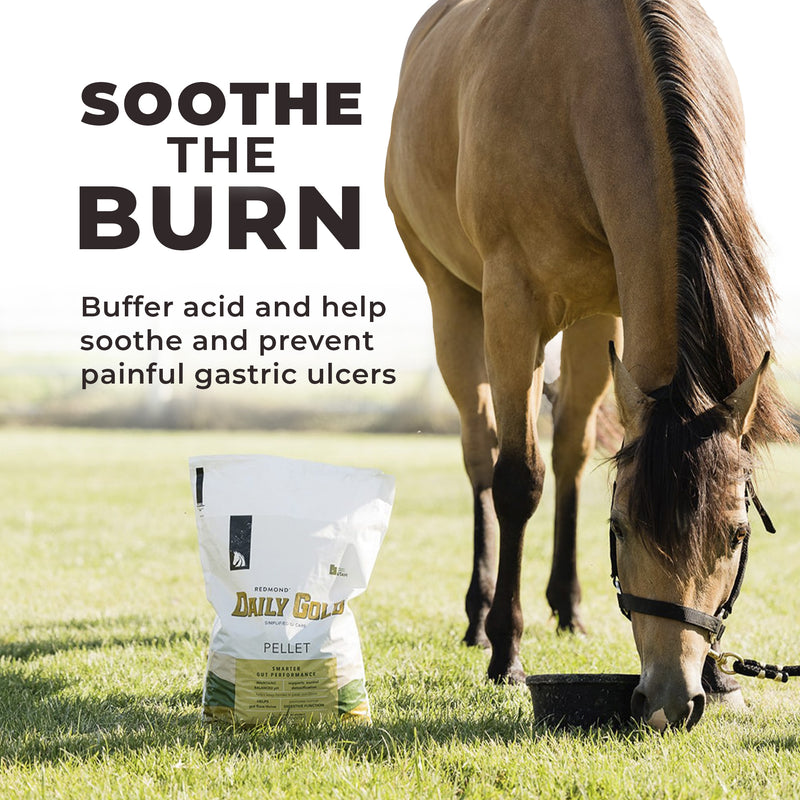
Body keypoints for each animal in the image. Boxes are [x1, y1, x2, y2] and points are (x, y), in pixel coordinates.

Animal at [385, 0, 795, 729]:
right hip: (453, 300)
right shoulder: (511, 302)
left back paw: (568, 606)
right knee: (480, 453)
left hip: (588, 324)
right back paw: (479, 618)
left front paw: (723, 676)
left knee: (572, 447)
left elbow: (570, 456)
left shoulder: (612, 309)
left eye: (736, 532)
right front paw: (507, 653)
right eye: (621, 527)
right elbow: (518, 479)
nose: (672, 697)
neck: (584, 81)